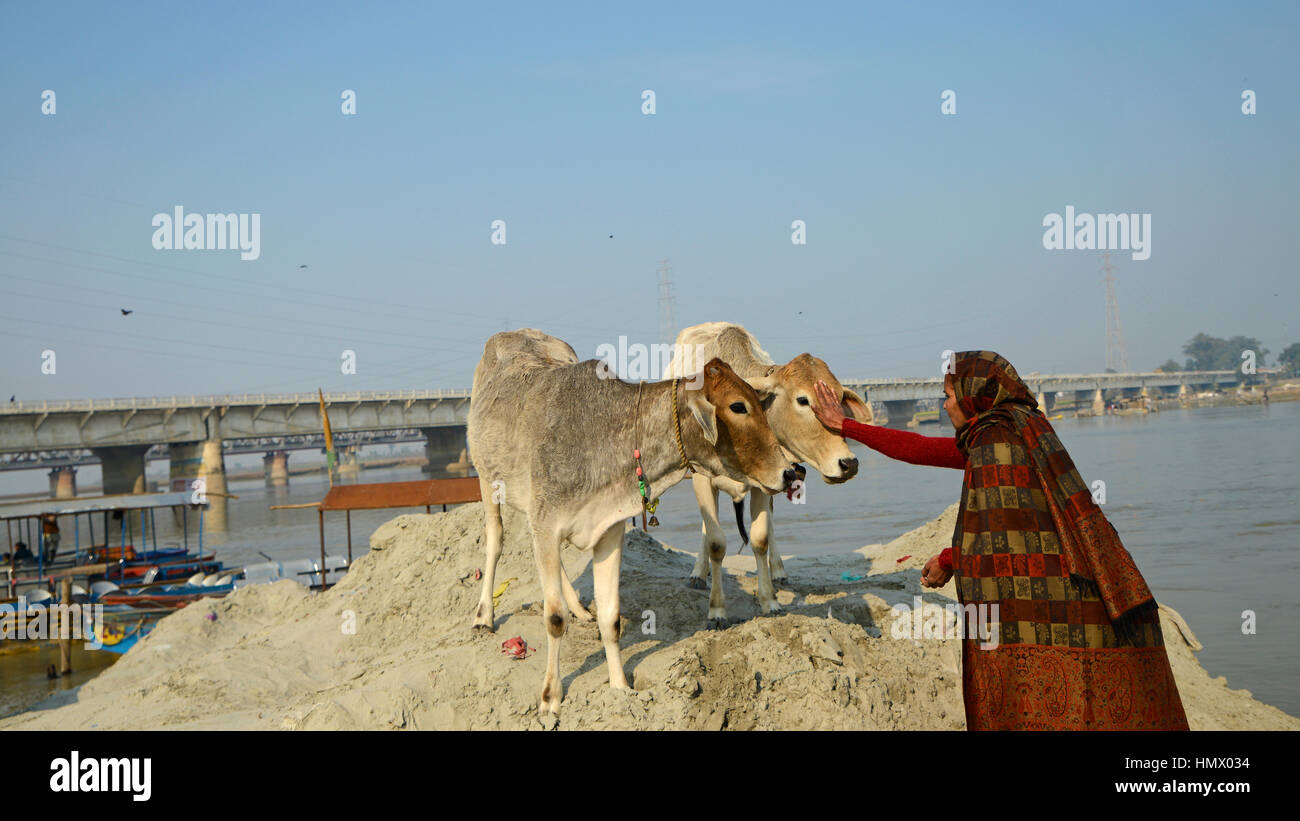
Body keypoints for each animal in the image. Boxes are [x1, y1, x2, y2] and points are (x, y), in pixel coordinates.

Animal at [467, 329, 797, 716]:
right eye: (738, 406)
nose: (789, 472)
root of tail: (515, 332)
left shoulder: (608, 531)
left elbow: (611, 618)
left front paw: (620, 687)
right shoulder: (546, 526)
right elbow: (554, 618)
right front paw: (550, 697)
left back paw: (579, 608)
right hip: (487, 481)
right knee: (495, 541)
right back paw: (484, 615)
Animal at [664, 322, 873, 627]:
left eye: (837, 399)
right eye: (803, 400)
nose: (849, 463)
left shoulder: (766, 482)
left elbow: (761, 538)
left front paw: (769, 600)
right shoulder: (703, 481)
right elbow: (715, 541)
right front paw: (717, 609)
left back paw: (778, 571)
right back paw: (698, 573)